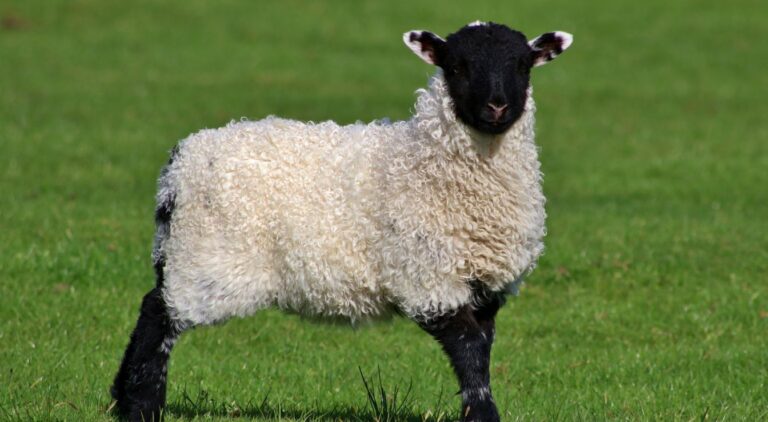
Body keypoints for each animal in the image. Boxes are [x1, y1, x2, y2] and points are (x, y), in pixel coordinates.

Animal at [112, 21, 573, 422]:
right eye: (457, 67)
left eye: (522, 65)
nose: (497, 106)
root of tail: (179, 164)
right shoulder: (428, 278)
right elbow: (469, 350)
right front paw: (483, 414)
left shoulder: (487, 288)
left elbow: (482, 350)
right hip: (208, 257)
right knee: (159, 314)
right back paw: (142, 406)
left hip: (186, 252)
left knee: (152, 305)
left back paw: (121, 399)